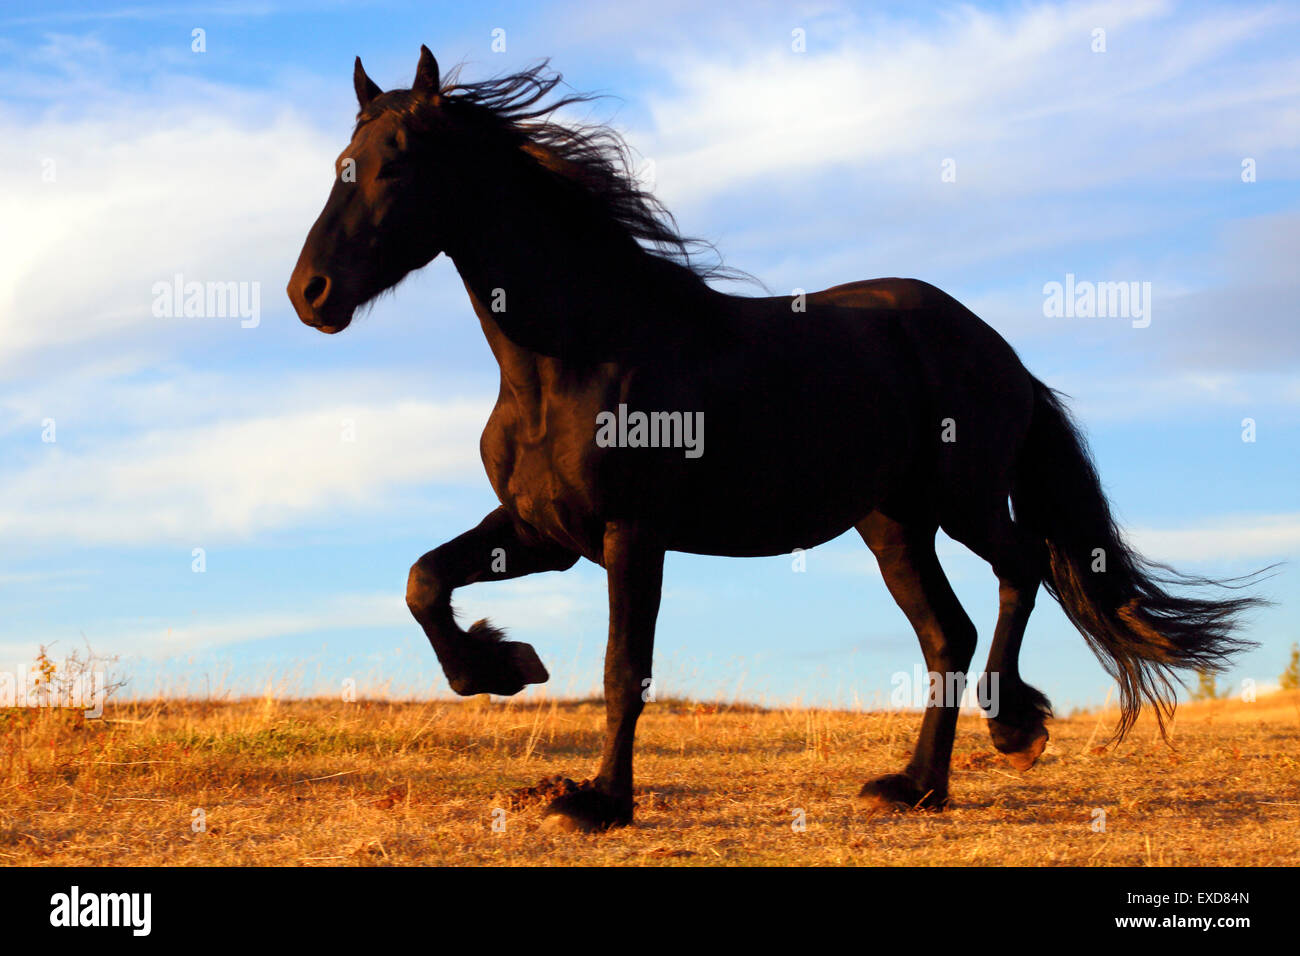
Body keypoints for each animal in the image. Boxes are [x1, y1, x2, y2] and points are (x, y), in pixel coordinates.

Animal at [287, 46, 1264, 831]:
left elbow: (623, 667)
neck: (577, 354)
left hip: (964, 499)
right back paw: (915, 787)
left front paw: (596, 803)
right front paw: (506, 664)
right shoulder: (542, 533)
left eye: (399, 164)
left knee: (1020, 571)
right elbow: (424, 581)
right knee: (945, 632)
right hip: (892, 526)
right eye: (342, 162)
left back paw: (1015, 727)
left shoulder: (633, 535)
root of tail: (1001, 352)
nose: (311, 294)